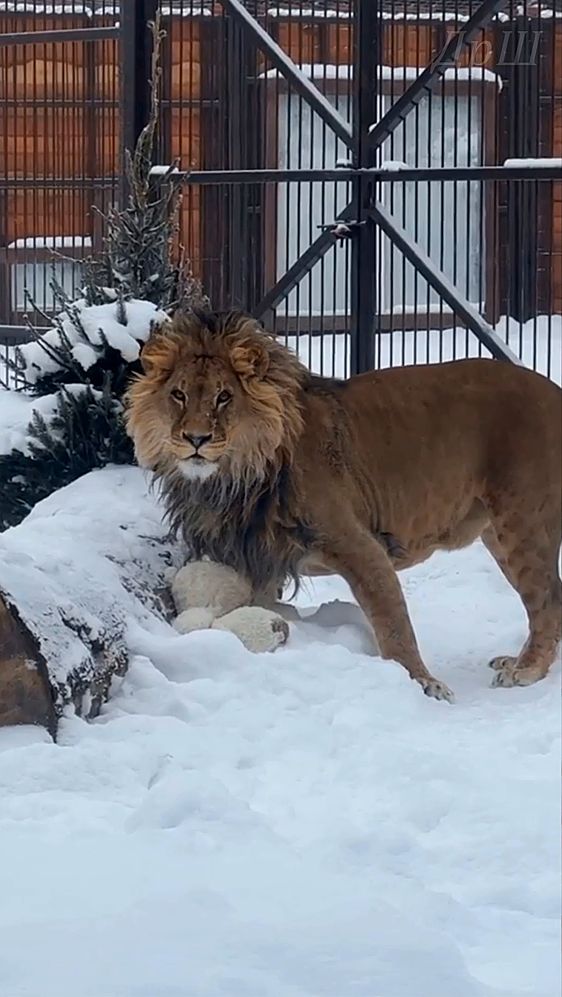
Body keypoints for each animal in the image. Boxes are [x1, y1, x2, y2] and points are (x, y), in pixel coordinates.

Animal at [125, 309, 562, 703]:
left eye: (224, 397)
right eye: (178, 395)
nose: (195, 439)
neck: (232, 479)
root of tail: (555, 391)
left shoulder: (361, 546)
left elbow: (393, 624)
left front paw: (423, 685)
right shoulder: (261, 558)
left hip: (523, 523)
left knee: (547, 600)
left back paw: (526, 670)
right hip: (499, 535)